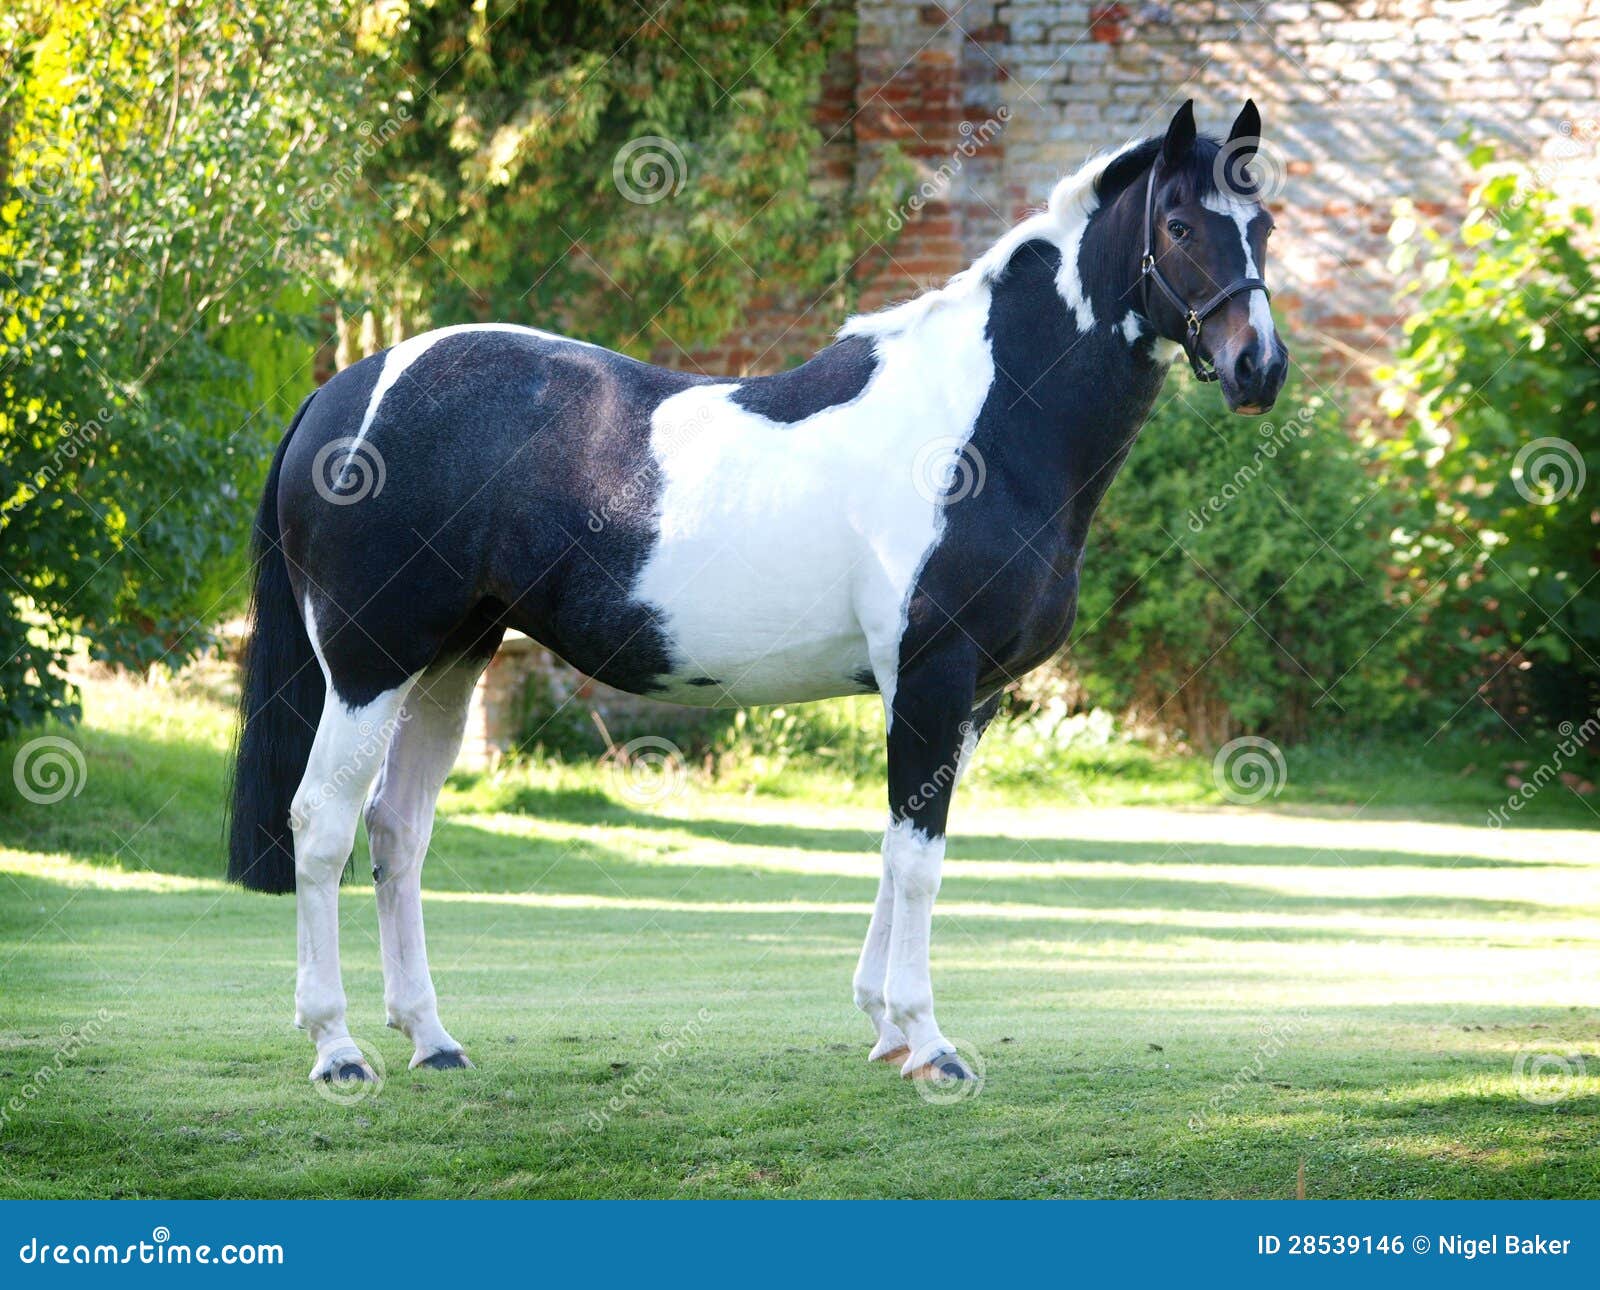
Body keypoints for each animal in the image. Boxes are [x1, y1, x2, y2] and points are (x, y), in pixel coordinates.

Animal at [227, 100, 1288, 1086]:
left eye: (1264, 224)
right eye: (1180, 224)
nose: (1259, 368)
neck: (980, 427)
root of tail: (344, 393)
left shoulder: (968, 696)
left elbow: (897, 845)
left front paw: (886, 1032)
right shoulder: (931, 675)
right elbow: (920, 860)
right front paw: (929, 1043)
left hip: (451, 661)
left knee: (397, 831)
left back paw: (432, 1039)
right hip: (368, 665)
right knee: (321, 825)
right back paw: (337, 1048)